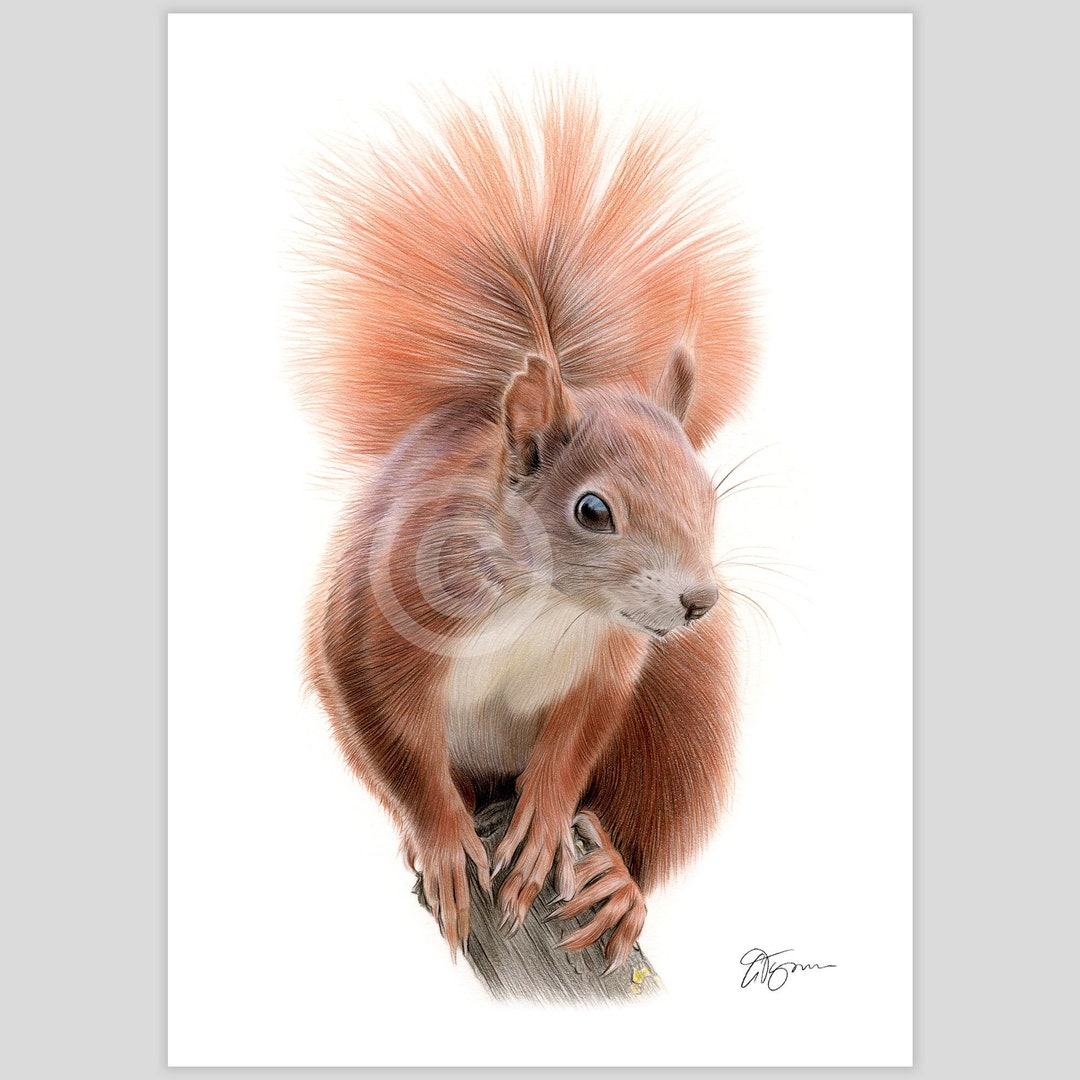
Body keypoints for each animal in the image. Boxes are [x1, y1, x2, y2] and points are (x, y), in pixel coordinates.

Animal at [294, 83, 757, 974]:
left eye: (711, 496)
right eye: (592, 510)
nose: (698, 602)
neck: (550, 600)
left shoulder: (615, 661)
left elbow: (577, 739)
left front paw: (542, 817)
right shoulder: (379, 616)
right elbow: (391, 735)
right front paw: (441, 842)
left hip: (677, 712)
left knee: (654, 808)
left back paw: (618, 882)